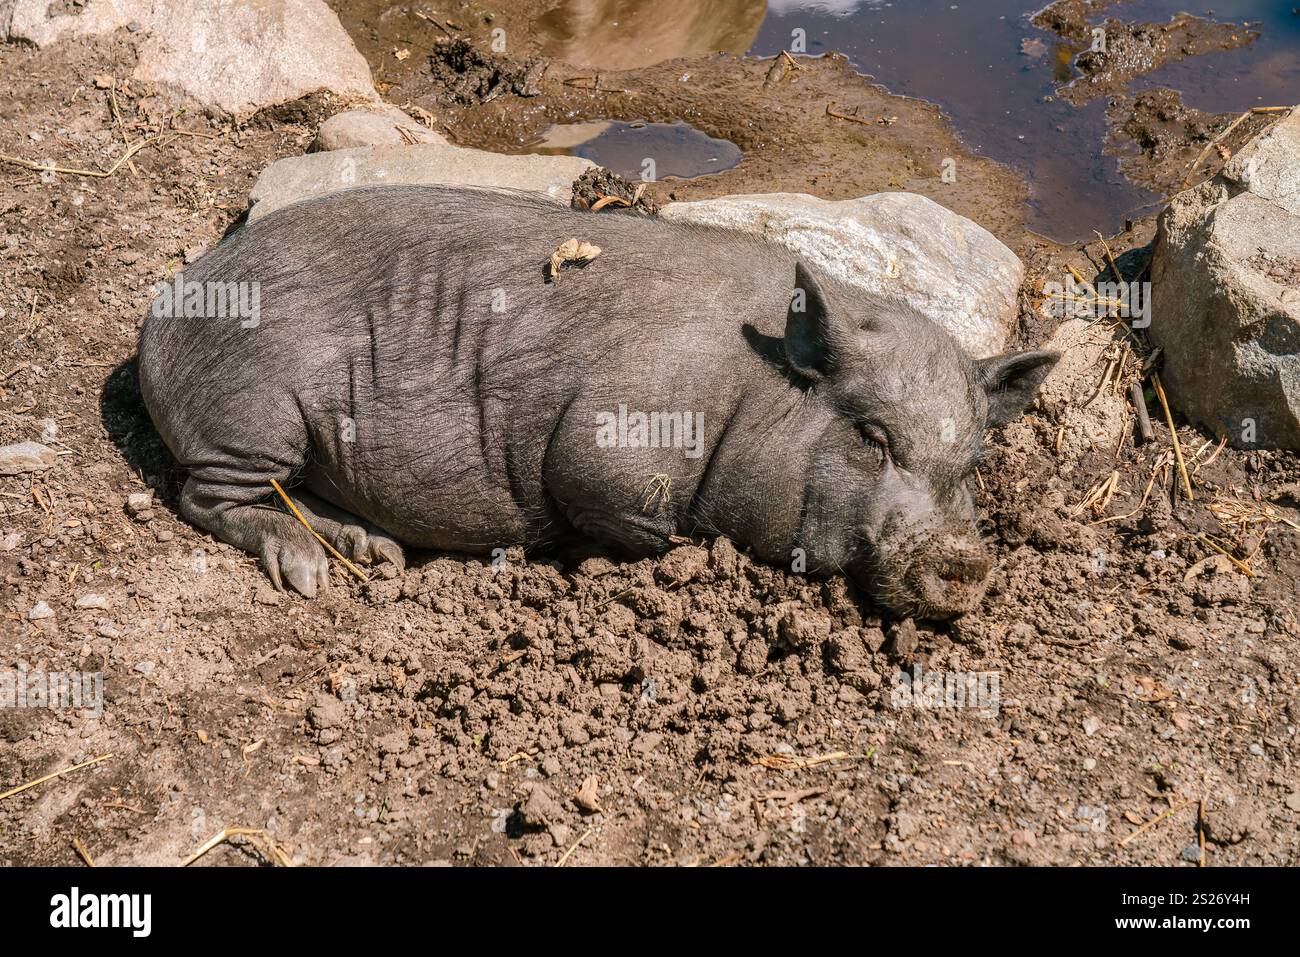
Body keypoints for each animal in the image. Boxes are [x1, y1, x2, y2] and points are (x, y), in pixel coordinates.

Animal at [138, 185, 1056, 619]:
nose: (964, 560)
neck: (744, 393)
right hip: (257, 412)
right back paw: (310, 573)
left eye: (971, 462)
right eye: (871, 437)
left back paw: (379, 554)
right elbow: (625, 515)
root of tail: (162, 315)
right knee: (204, 497)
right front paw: (581, 557)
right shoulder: (608, 451)